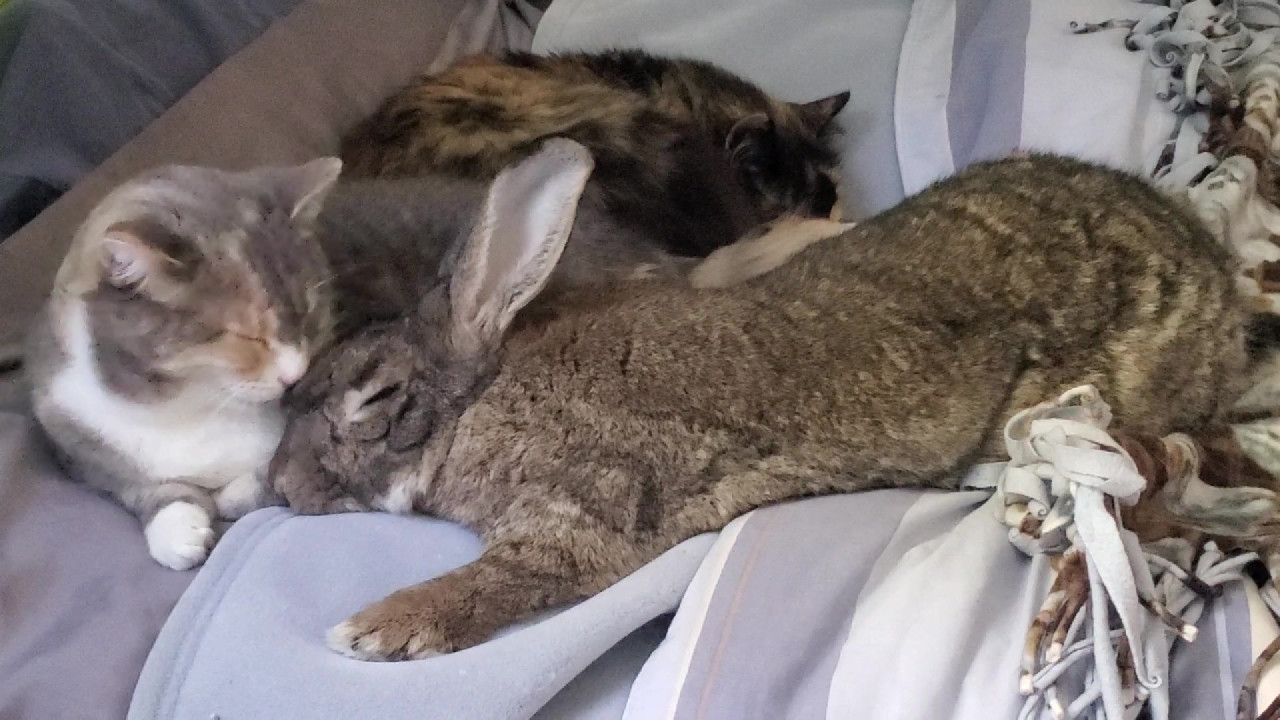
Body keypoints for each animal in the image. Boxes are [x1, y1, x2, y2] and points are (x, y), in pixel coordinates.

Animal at [270, 151, 1268, 661]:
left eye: (372, 396)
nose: (278, 487)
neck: (478, 402)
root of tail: (1223, 290)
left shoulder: (582, 513)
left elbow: (500, 582)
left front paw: (374, 629)